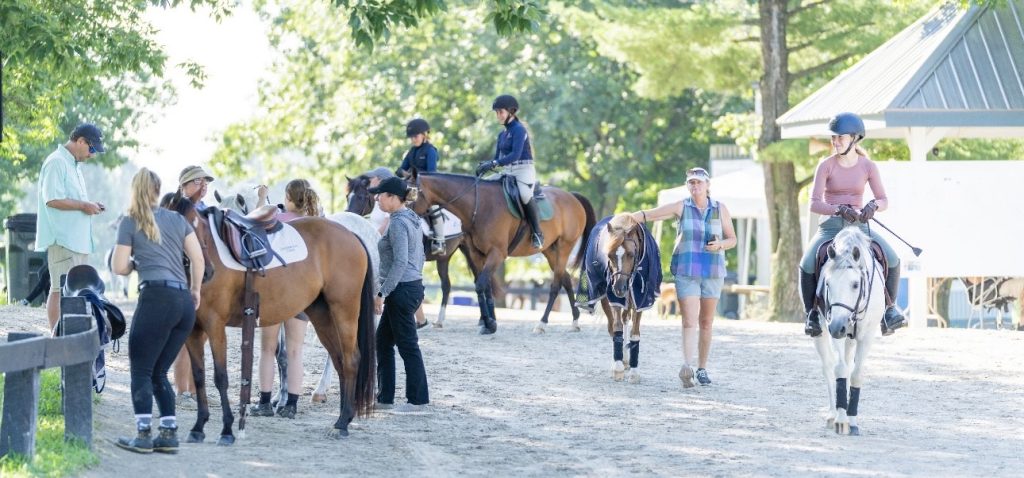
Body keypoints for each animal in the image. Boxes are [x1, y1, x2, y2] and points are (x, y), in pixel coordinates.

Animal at [166, 198, 376, 443]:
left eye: (198, 226)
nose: (206, 270)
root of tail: (351, 235)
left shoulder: (215, 325)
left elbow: (220, 377)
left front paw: (227, 429)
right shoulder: (193, 331)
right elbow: (199, 376)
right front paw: (198, 427)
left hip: (344, 310)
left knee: (351, 360)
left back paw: (341, 424)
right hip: (322, 316)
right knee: (339, 361)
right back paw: (344, 417)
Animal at [346, 174, 474, 328]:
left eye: (361, 196)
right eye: (347, 196)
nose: (348, 214)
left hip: (465, 252)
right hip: (445, 258)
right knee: (447, 285)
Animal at [408, 171, 597, 335]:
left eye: (411, 195)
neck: (479, 205)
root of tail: (571, 196)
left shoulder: (497, 253)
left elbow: (480, 284)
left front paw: (489, 323)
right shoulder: (477, 254)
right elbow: (485, 287)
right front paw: (489, 322)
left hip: (564, 247)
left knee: (556, 285)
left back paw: (541, 324)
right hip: (550, 251)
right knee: (566, 280)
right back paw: (575, 321)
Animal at [812, 225, 885, 436]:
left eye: (855, 284)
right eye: (827, 284)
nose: (838, 327)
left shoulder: (867, 335)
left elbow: (856, 374)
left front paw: (852, 421)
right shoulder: (832, 327)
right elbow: (840, 369)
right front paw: (841, 420)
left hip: (850, 336)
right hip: (821, 331)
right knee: (828, 367)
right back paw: (832, 414)